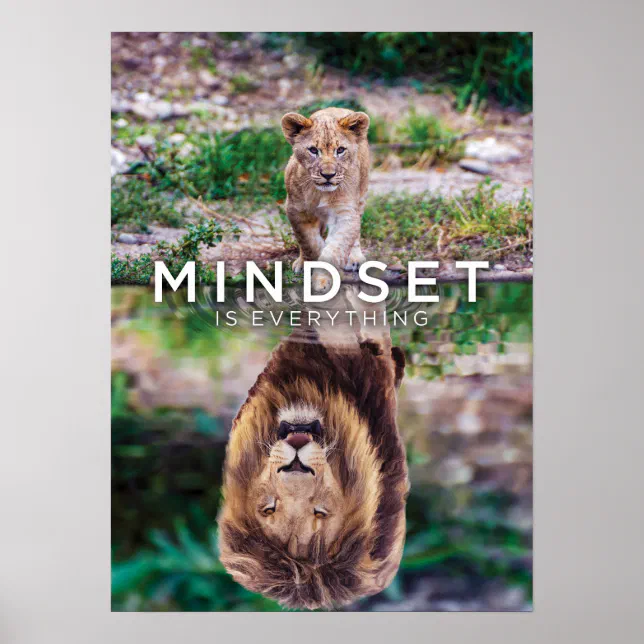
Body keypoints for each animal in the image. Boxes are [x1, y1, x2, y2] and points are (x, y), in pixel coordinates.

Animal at [281, 107, 371, 291]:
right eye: (313, 150)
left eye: (340, 150)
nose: (328, 175)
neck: (321, 193)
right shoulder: (296, 210)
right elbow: (309, 242)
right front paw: (314, 256)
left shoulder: (346, 213)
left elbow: (337, 246)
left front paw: (323, 279)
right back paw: (302, 262)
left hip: (361, 196)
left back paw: (355, 258)